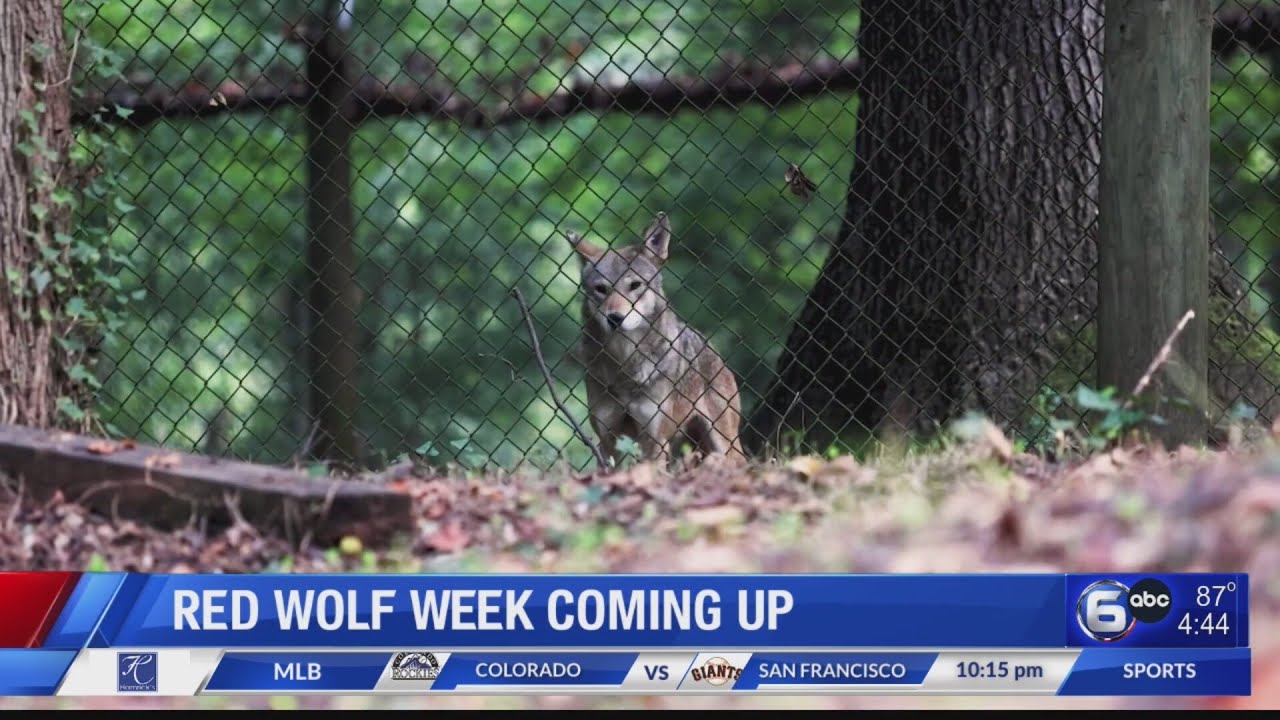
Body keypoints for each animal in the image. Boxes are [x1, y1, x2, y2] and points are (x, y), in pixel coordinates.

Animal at [565, 212, 745, 466]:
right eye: (601, 289)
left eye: (635, 285)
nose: (615, 318)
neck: (626, 364)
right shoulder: (609, 441)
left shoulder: (655, 440)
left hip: (724, 443)